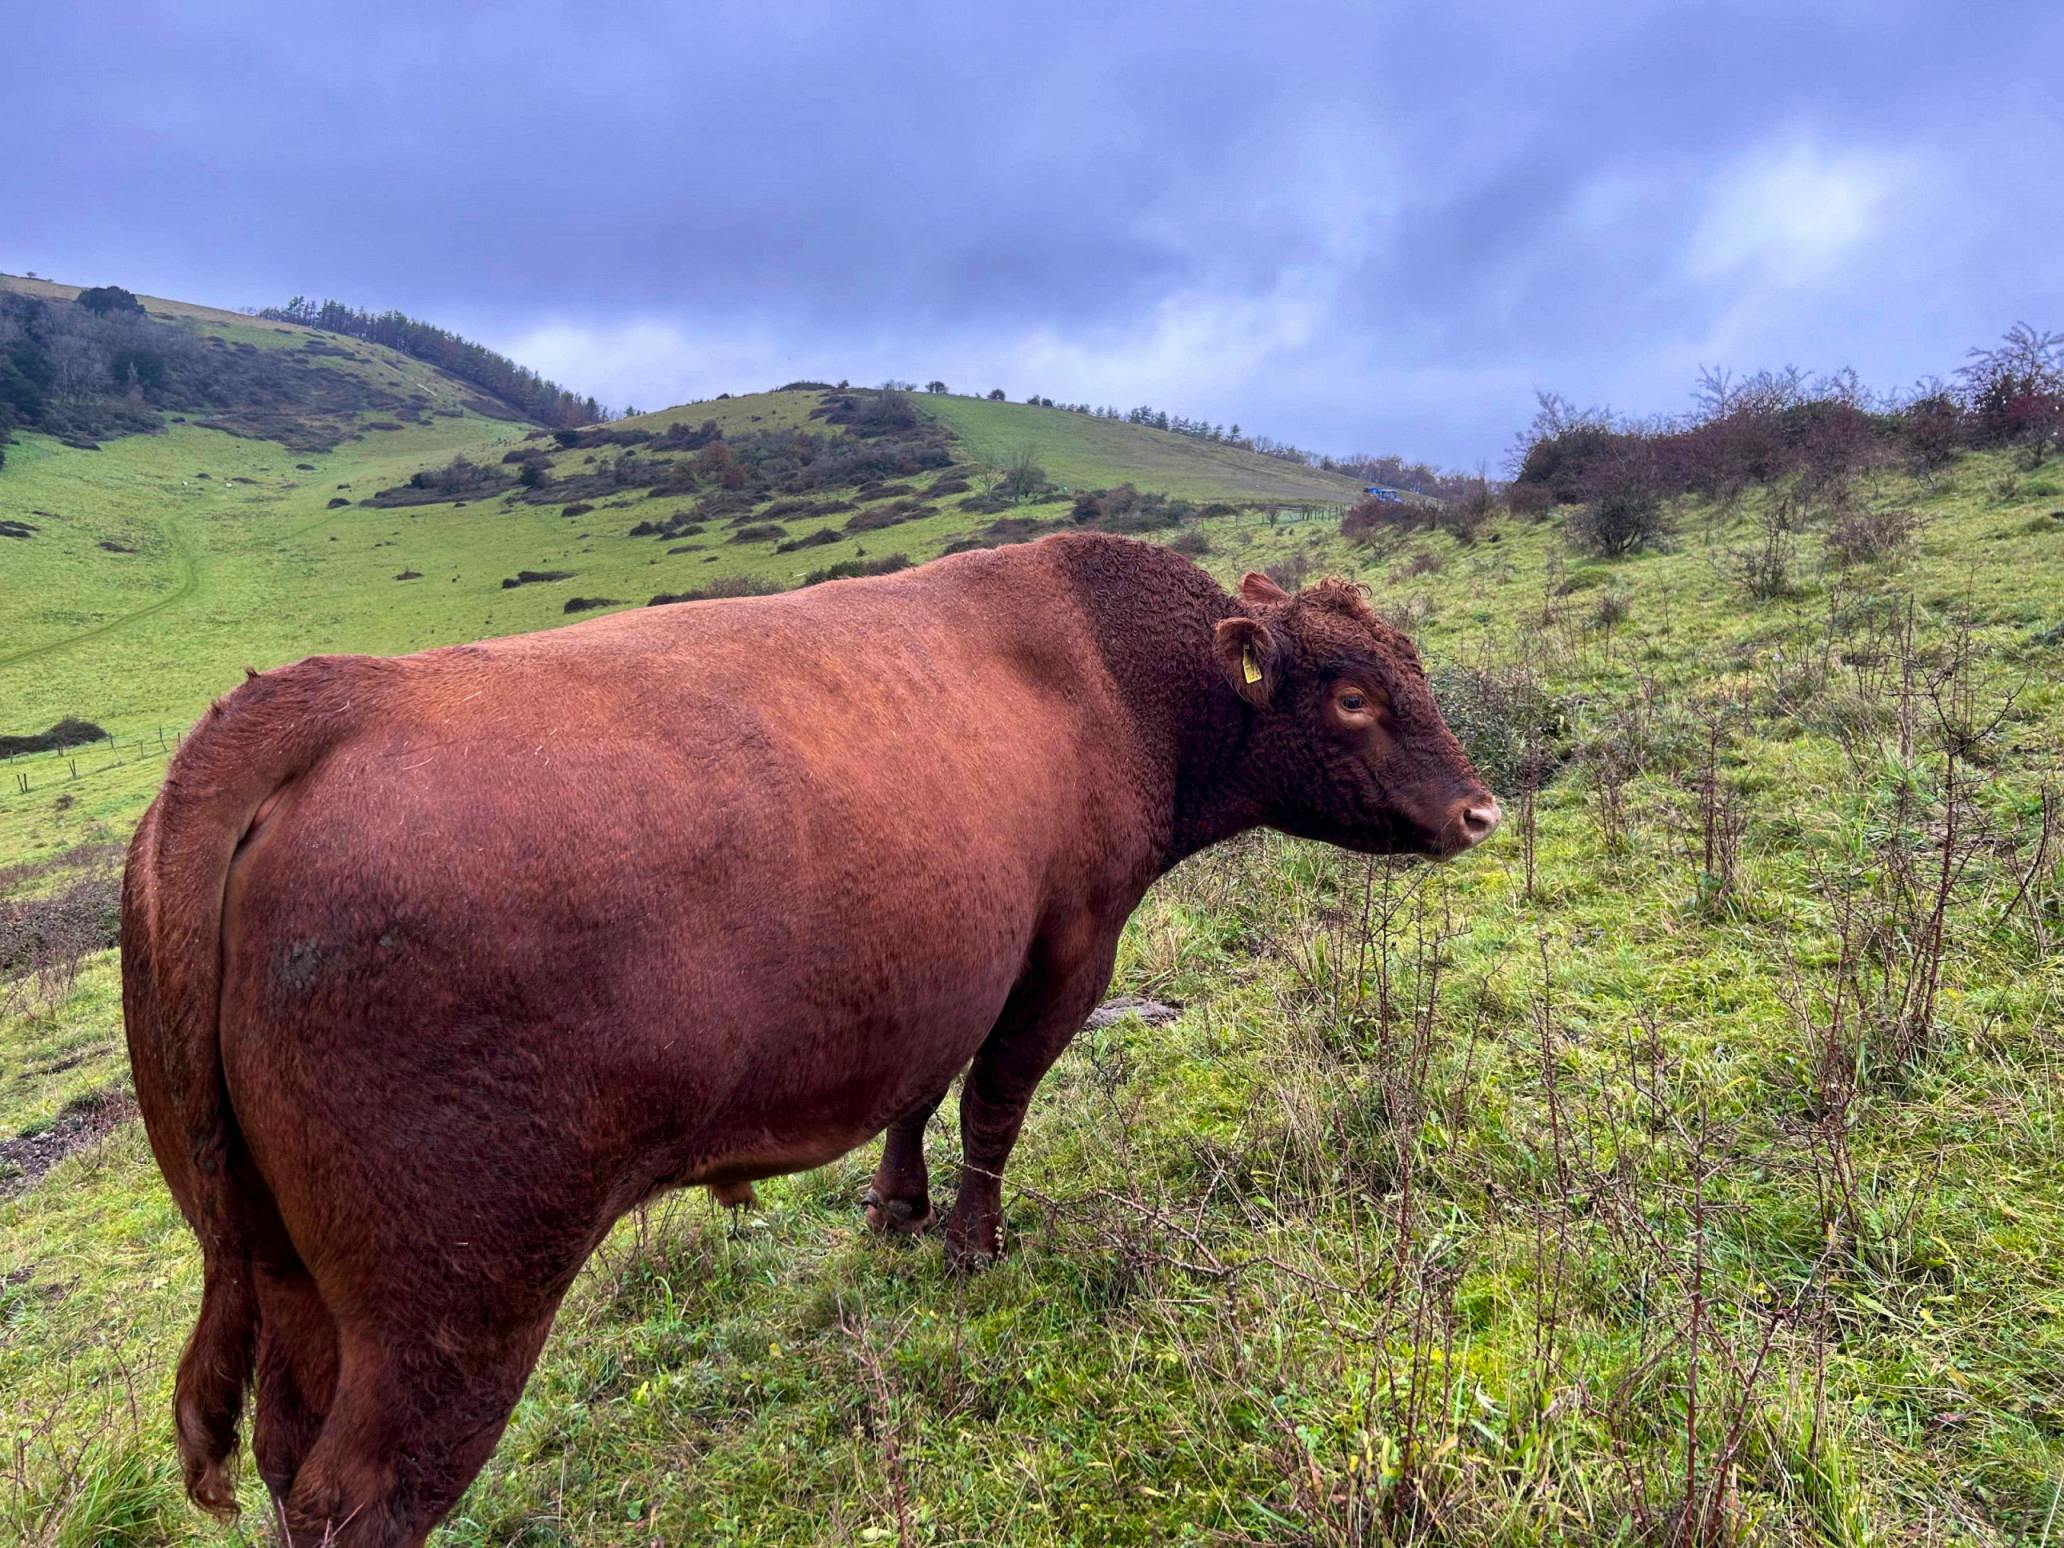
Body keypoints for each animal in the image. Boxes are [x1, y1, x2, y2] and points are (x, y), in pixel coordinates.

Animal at [121, 531, 1498, 1545]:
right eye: (1356, 695)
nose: (1481, 809)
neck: (1116, 680)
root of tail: (320, 698)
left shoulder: (931, 968)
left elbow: (919, 1092)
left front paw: (895, 1211)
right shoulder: (1068, 947)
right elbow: (994, 1103)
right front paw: (969, 1248)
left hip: (288, 1273)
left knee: (288, 1460)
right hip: (453, 1295)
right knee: (361, 1498)